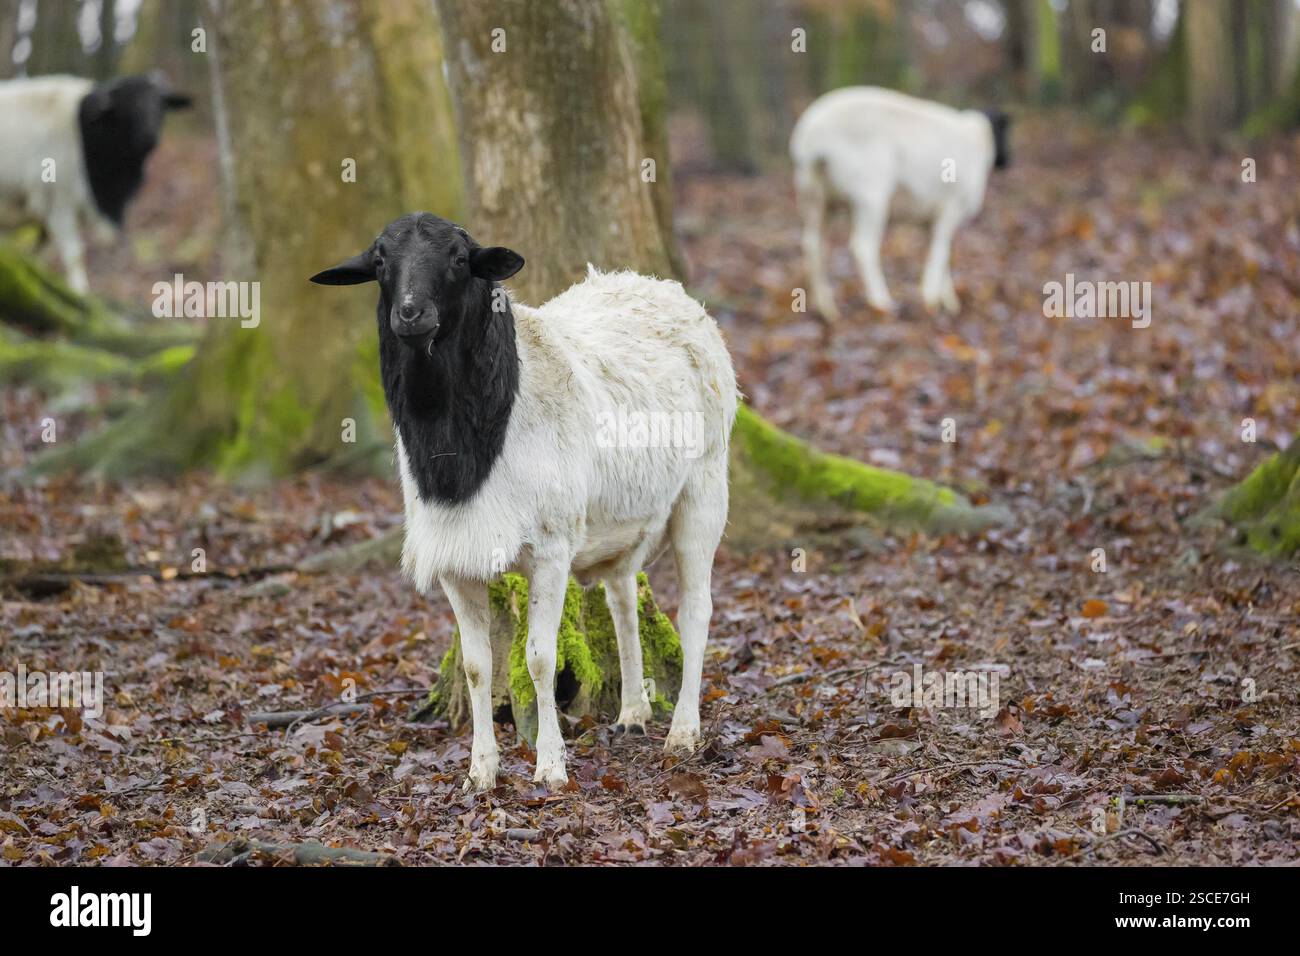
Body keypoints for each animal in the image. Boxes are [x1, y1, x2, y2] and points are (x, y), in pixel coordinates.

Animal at [0, 73, 191, 293]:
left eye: (161, 104)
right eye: (128, 106)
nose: (149, 136)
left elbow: (39, 254)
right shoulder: (59, 201)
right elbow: (73, 254)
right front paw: (80, 292)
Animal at [311, 213, 737, 791]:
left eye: (458, 259)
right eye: (379, 262)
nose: (410, 313)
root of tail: (660, 287)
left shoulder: (552, 547)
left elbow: (539, 658)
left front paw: (550, 766)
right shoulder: (455, 556)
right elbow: (477, 665)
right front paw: (480, 772)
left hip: (704, 487)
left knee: (695, 610)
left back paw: (684, 733)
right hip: (620, 521)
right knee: (623, 599)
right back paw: (631, 713)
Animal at [790, 86, 1009, 318]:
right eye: (1005, 130)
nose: (1008, 161)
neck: (977, 141)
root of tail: (812, 139)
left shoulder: (930, 221)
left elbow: (942, 256)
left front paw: (950, 303)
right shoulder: (949, 209)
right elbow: (941, 253)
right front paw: (932, 302)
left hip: (815, 196)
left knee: (813, 245)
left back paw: (827, 310)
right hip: (871, 194)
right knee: (863, 246)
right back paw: (881, 303)